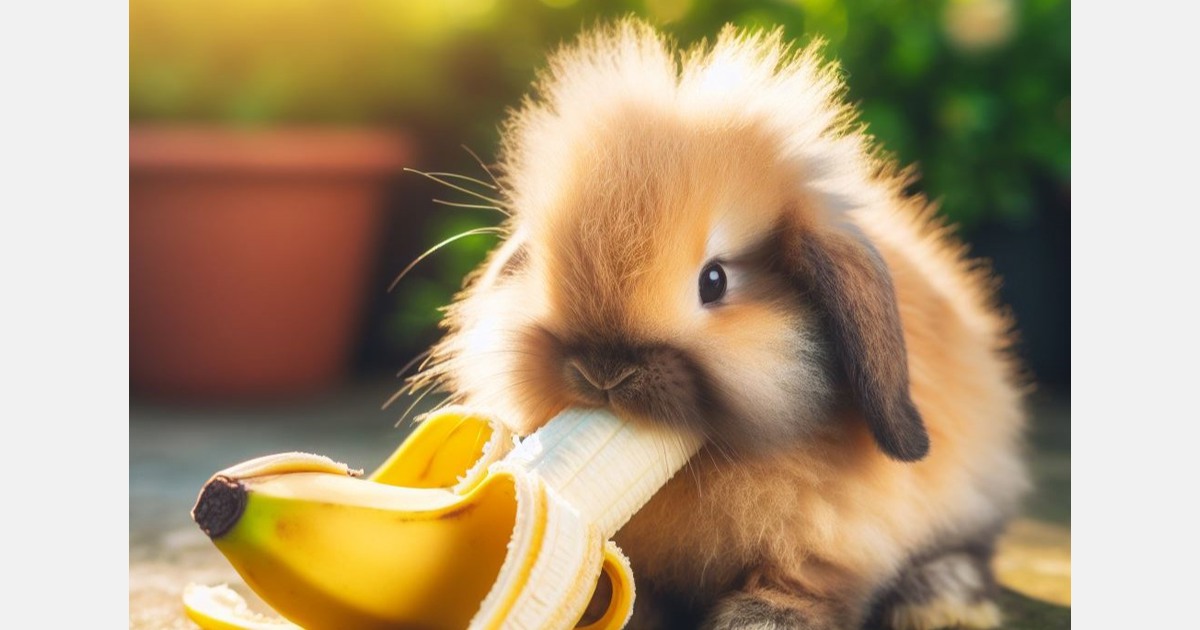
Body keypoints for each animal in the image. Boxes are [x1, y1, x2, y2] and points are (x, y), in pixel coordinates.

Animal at [411, 19, 1029, 630]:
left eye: (714, 281)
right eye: (541, 264)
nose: (603, 373)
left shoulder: (822, 551)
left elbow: (791, 595)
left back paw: (943, 606)